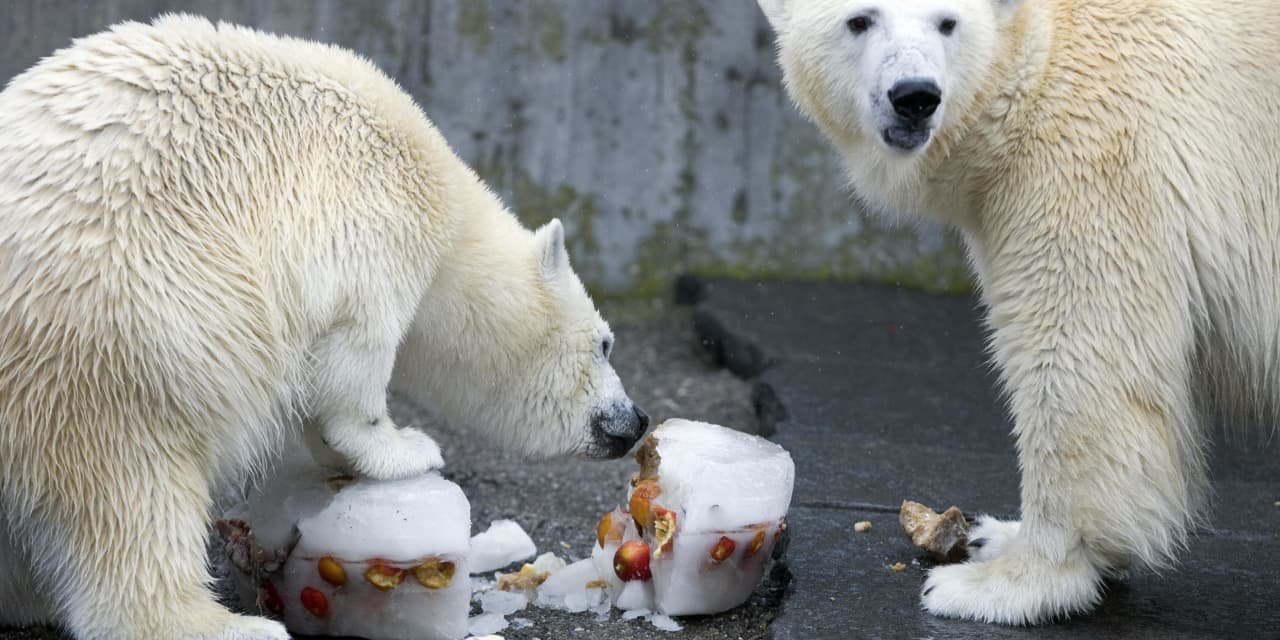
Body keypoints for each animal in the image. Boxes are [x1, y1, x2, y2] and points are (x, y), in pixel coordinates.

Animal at [0, 15, 648, 640]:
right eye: (605, 343)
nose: (632, 422)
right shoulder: (377, 222)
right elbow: (353, 360)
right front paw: (409, 448)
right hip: (119, 336)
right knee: (133, 487)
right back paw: (222, 624)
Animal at [759, 0, 1280, 625]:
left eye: (947, 23)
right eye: (860, 20)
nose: (915, 96)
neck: (1037, 65)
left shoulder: (1090, 162)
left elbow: (1076, 356)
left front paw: (1005, 582)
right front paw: (994, 534)